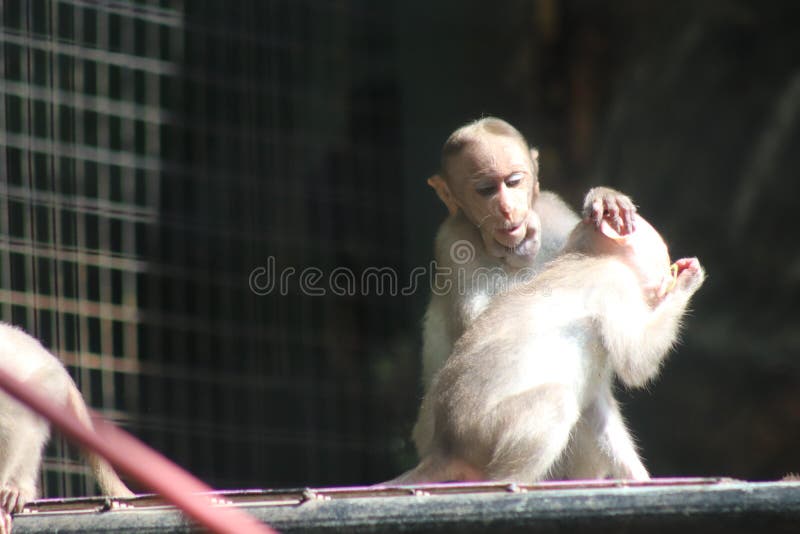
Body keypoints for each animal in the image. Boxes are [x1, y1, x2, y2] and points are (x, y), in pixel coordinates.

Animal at [391, 211, 705, 484]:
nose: (667, 260)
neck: (591, 257)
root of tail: (446, 445)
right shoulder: (615, 282)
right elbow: (635, 361)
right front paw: (687, 281)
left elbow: (597, 409)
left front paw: (639, 477)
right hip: (483, 431)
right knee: (556, 400)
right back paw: (510, 483)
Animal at [414, 116, 636, 454]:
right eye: (486, 190)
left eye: (513, 182)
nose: (507, 209)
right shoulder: (452, 238)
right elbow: (478, 338)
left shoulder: (554, 212)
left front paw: (604, 197)